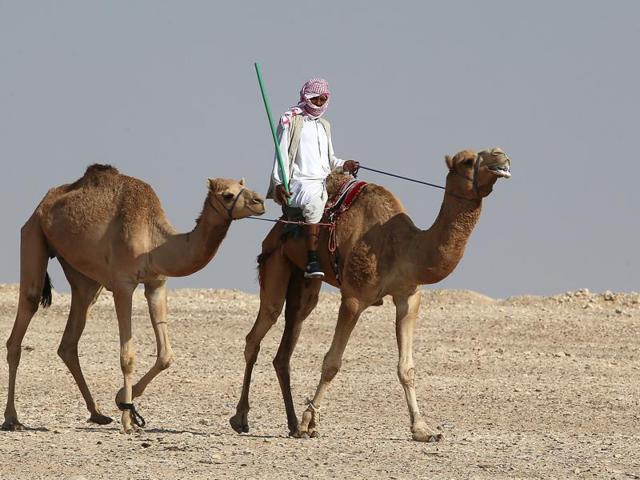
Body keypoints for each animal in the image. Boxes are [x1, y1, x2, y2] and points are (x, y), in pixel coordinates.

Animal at [3, 164, 265, 433]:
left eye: (243, 186)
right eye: (227, 195)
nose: (260, 201)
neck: (156, 242)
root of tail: (44, 202)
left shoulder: (156, 284)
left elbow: (165, 356)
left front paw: (121, 399)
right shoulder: (123, 285)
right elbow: (127, 356)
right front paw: (128, 420)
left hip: (84, 277)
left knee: (71, 335)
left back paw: (97, 413)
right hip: (33, 233)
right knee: (26, 312)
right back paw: (12, 418)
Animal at [230, 148, 511, 442]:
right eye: (467, 161)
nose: (501, 156)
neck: (402, 244)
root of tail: (276, 228)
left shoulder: (408, 297)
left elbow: (406, 368)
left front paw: (423, 429)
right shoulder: (353, 297)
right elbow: (332, 363)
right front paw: (310, 420)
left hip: (304, 283)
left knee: (286, 345)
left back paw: (292, 424)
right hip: (275, 262)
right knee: (257, 333)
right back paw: (243, 418)